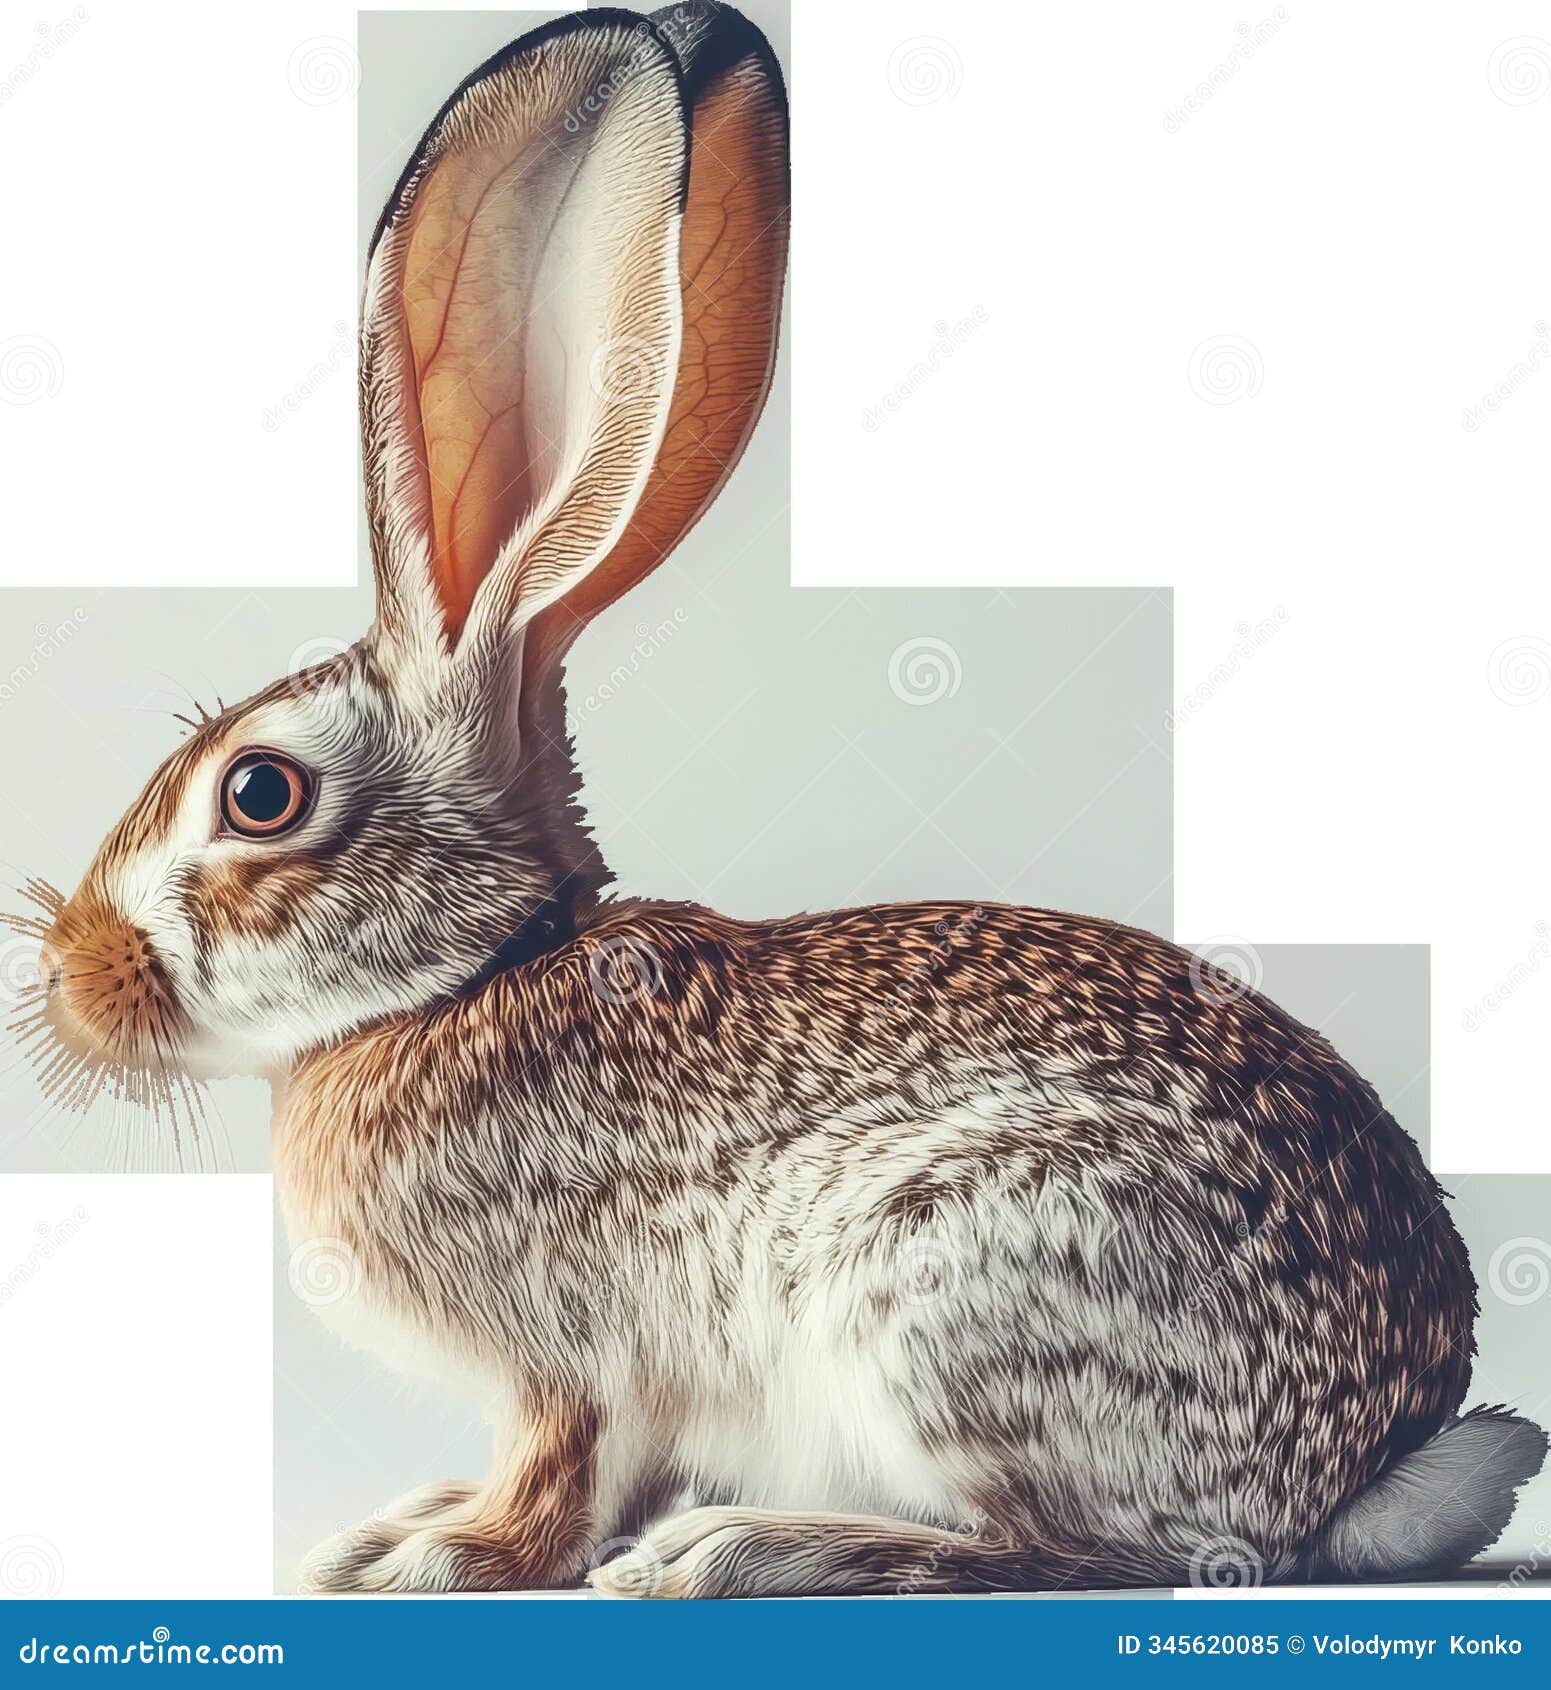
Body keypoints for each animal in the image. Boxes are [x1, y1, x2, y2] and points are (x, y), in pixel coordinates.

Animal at [21, 3, 1545, 1597]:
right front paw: (396, 1523)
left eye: (260, 793)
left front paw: (433, 1555)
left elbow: (560, 1473)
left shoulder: (571, 1357)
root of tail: (1353, 1474)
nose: (69, 980)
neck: (464, 980)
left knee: (1073, 1555)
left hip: (947, 1287)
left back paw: (738, 1547)